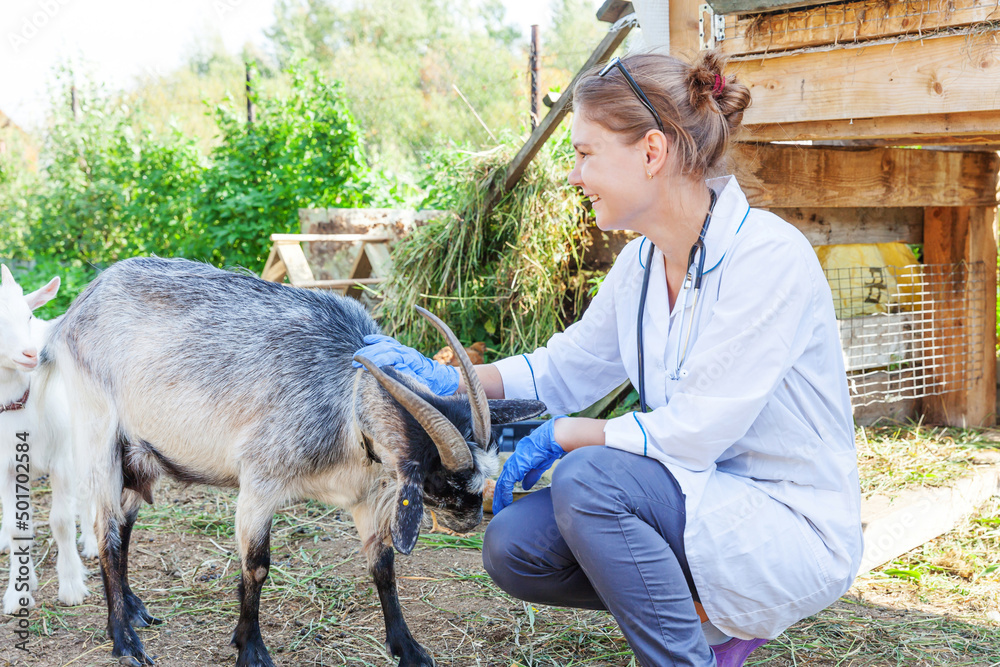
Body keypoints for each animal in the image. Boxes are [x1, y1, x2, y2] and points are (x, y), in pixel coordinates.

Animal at [0, 265, 96, 614]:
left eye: (28, 315)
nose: (31, 353)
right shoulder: (7, 468)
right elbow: (19, 526)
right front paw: (18, 592)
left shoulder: (62, 460)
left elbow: (62, 520)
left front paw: (71, 586)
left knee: (87, 495)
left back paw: (91, 544)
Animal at [46, 256, 544, 667]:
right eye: (441, 481)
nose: (470, 519)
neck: (347, 403)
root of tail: (81, 304)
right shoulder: (259, 484)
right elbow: (256, 566)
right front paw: (250, 649)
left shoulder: (367, 497)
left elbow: (383, 565)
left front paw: (408, 648)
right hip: (100, 435)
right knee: (107, 533)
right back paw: (124, 640)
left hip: (139, 454)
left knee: (124, 525)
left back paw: (133, 608)